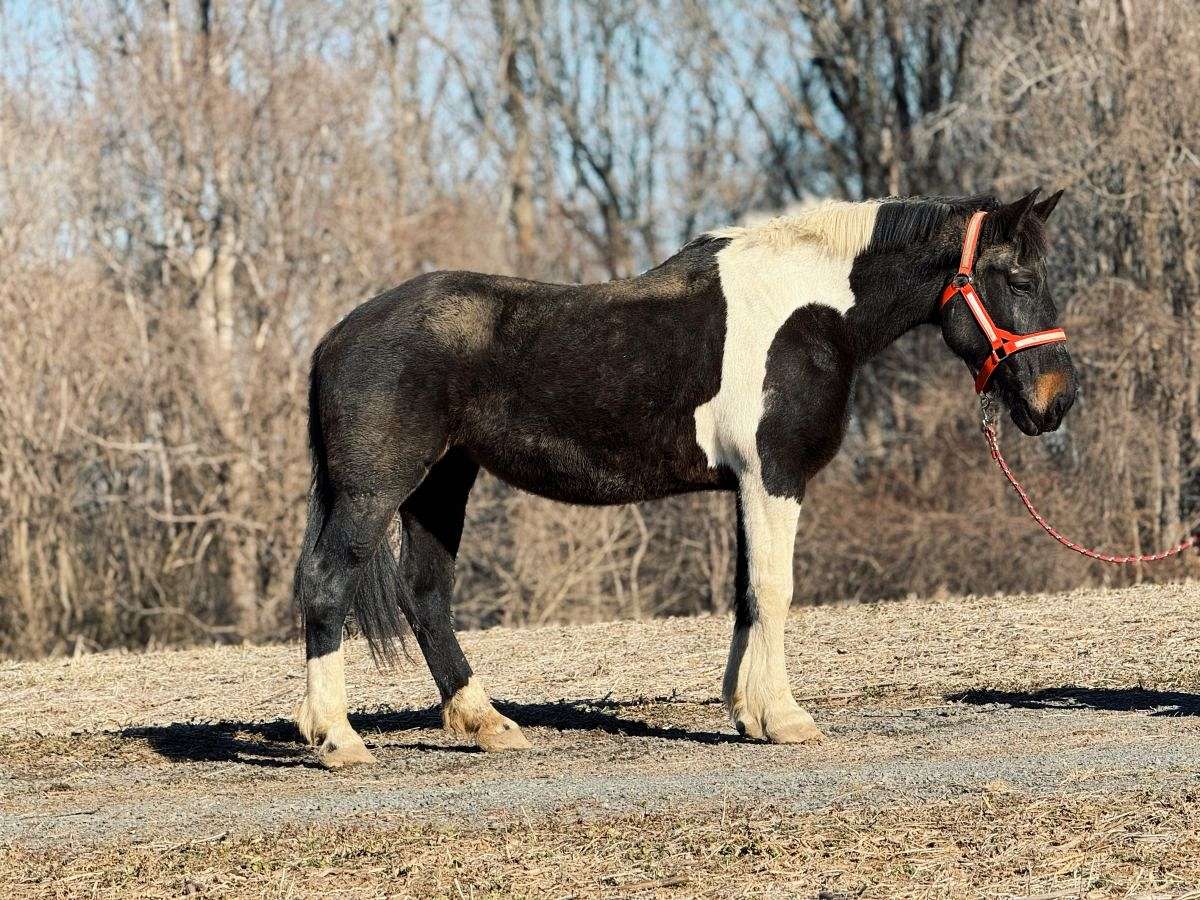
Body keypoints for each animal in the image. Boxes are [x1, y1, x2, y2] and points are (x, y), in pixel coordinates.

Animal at [291, 188, 1077, 768]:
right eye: (1019, 278)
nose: (1057, 400)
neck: (811, 308)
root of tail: (337, 337)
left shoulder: (748, 486)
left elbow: (744, 594)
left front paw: (747, 713)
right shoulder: (774, 476)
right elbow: (773, 590)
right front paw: (785, 718)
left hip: (441, 486)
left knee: (427, 593)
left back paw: (488, 724)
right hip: (375, 491)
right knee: (329, 582)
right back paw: (338, 739)